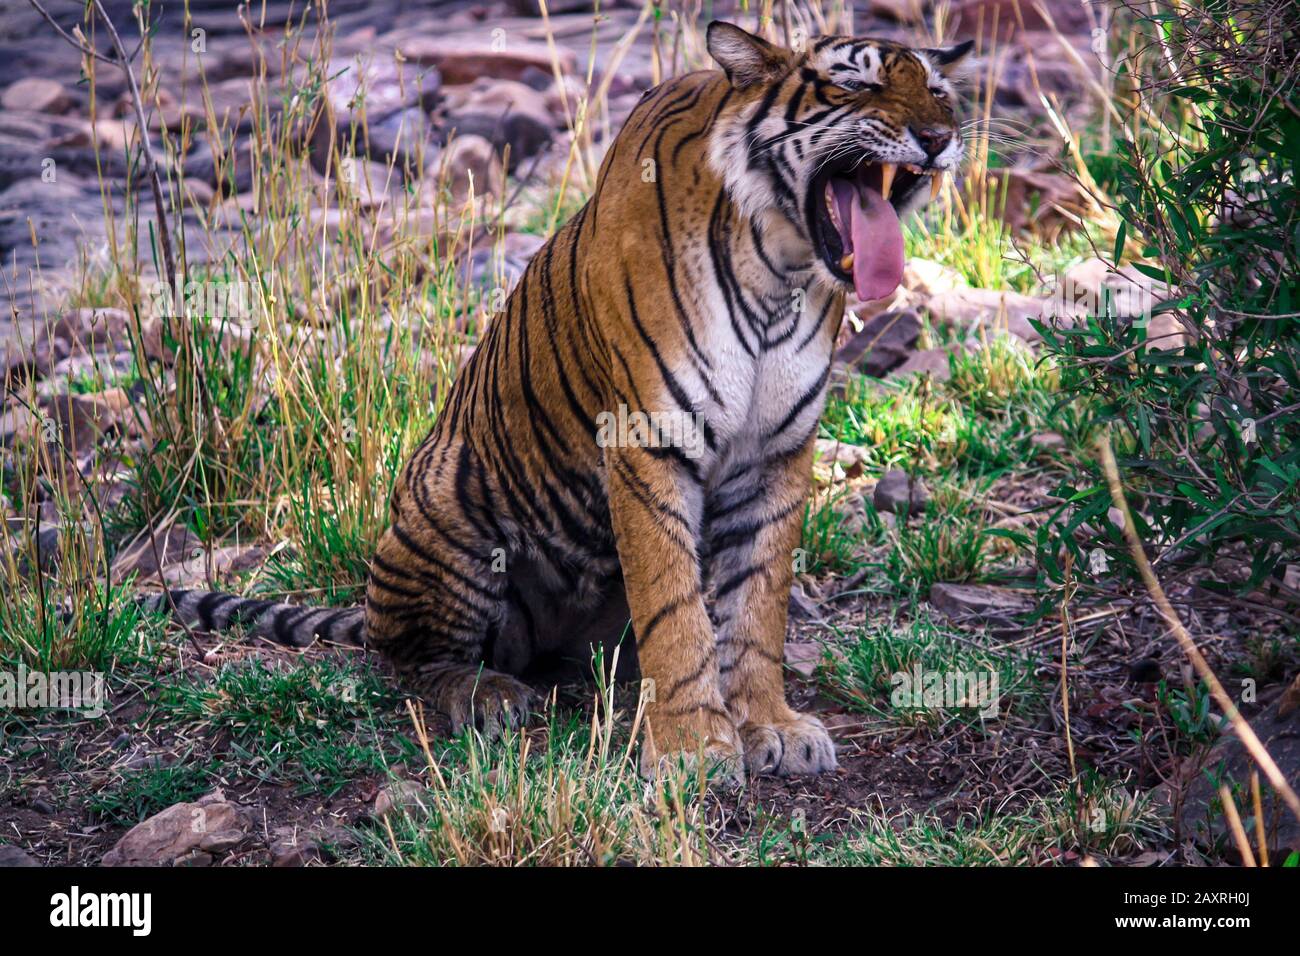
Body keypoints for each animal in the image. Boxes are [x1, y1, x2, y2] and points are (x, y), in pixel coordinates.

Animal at [148, 21, 972, 779]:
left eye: (939, 91)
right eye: (854, 85)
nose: (938, 138)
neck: (782, 267)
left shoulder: (778, 453)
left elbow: (756, 604)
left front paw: (769, 724)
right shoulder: (648, 440)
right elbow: (675, 608)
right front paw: (692, 748)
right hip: (448, 504)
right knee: (407, 660)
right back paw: (488, 694)